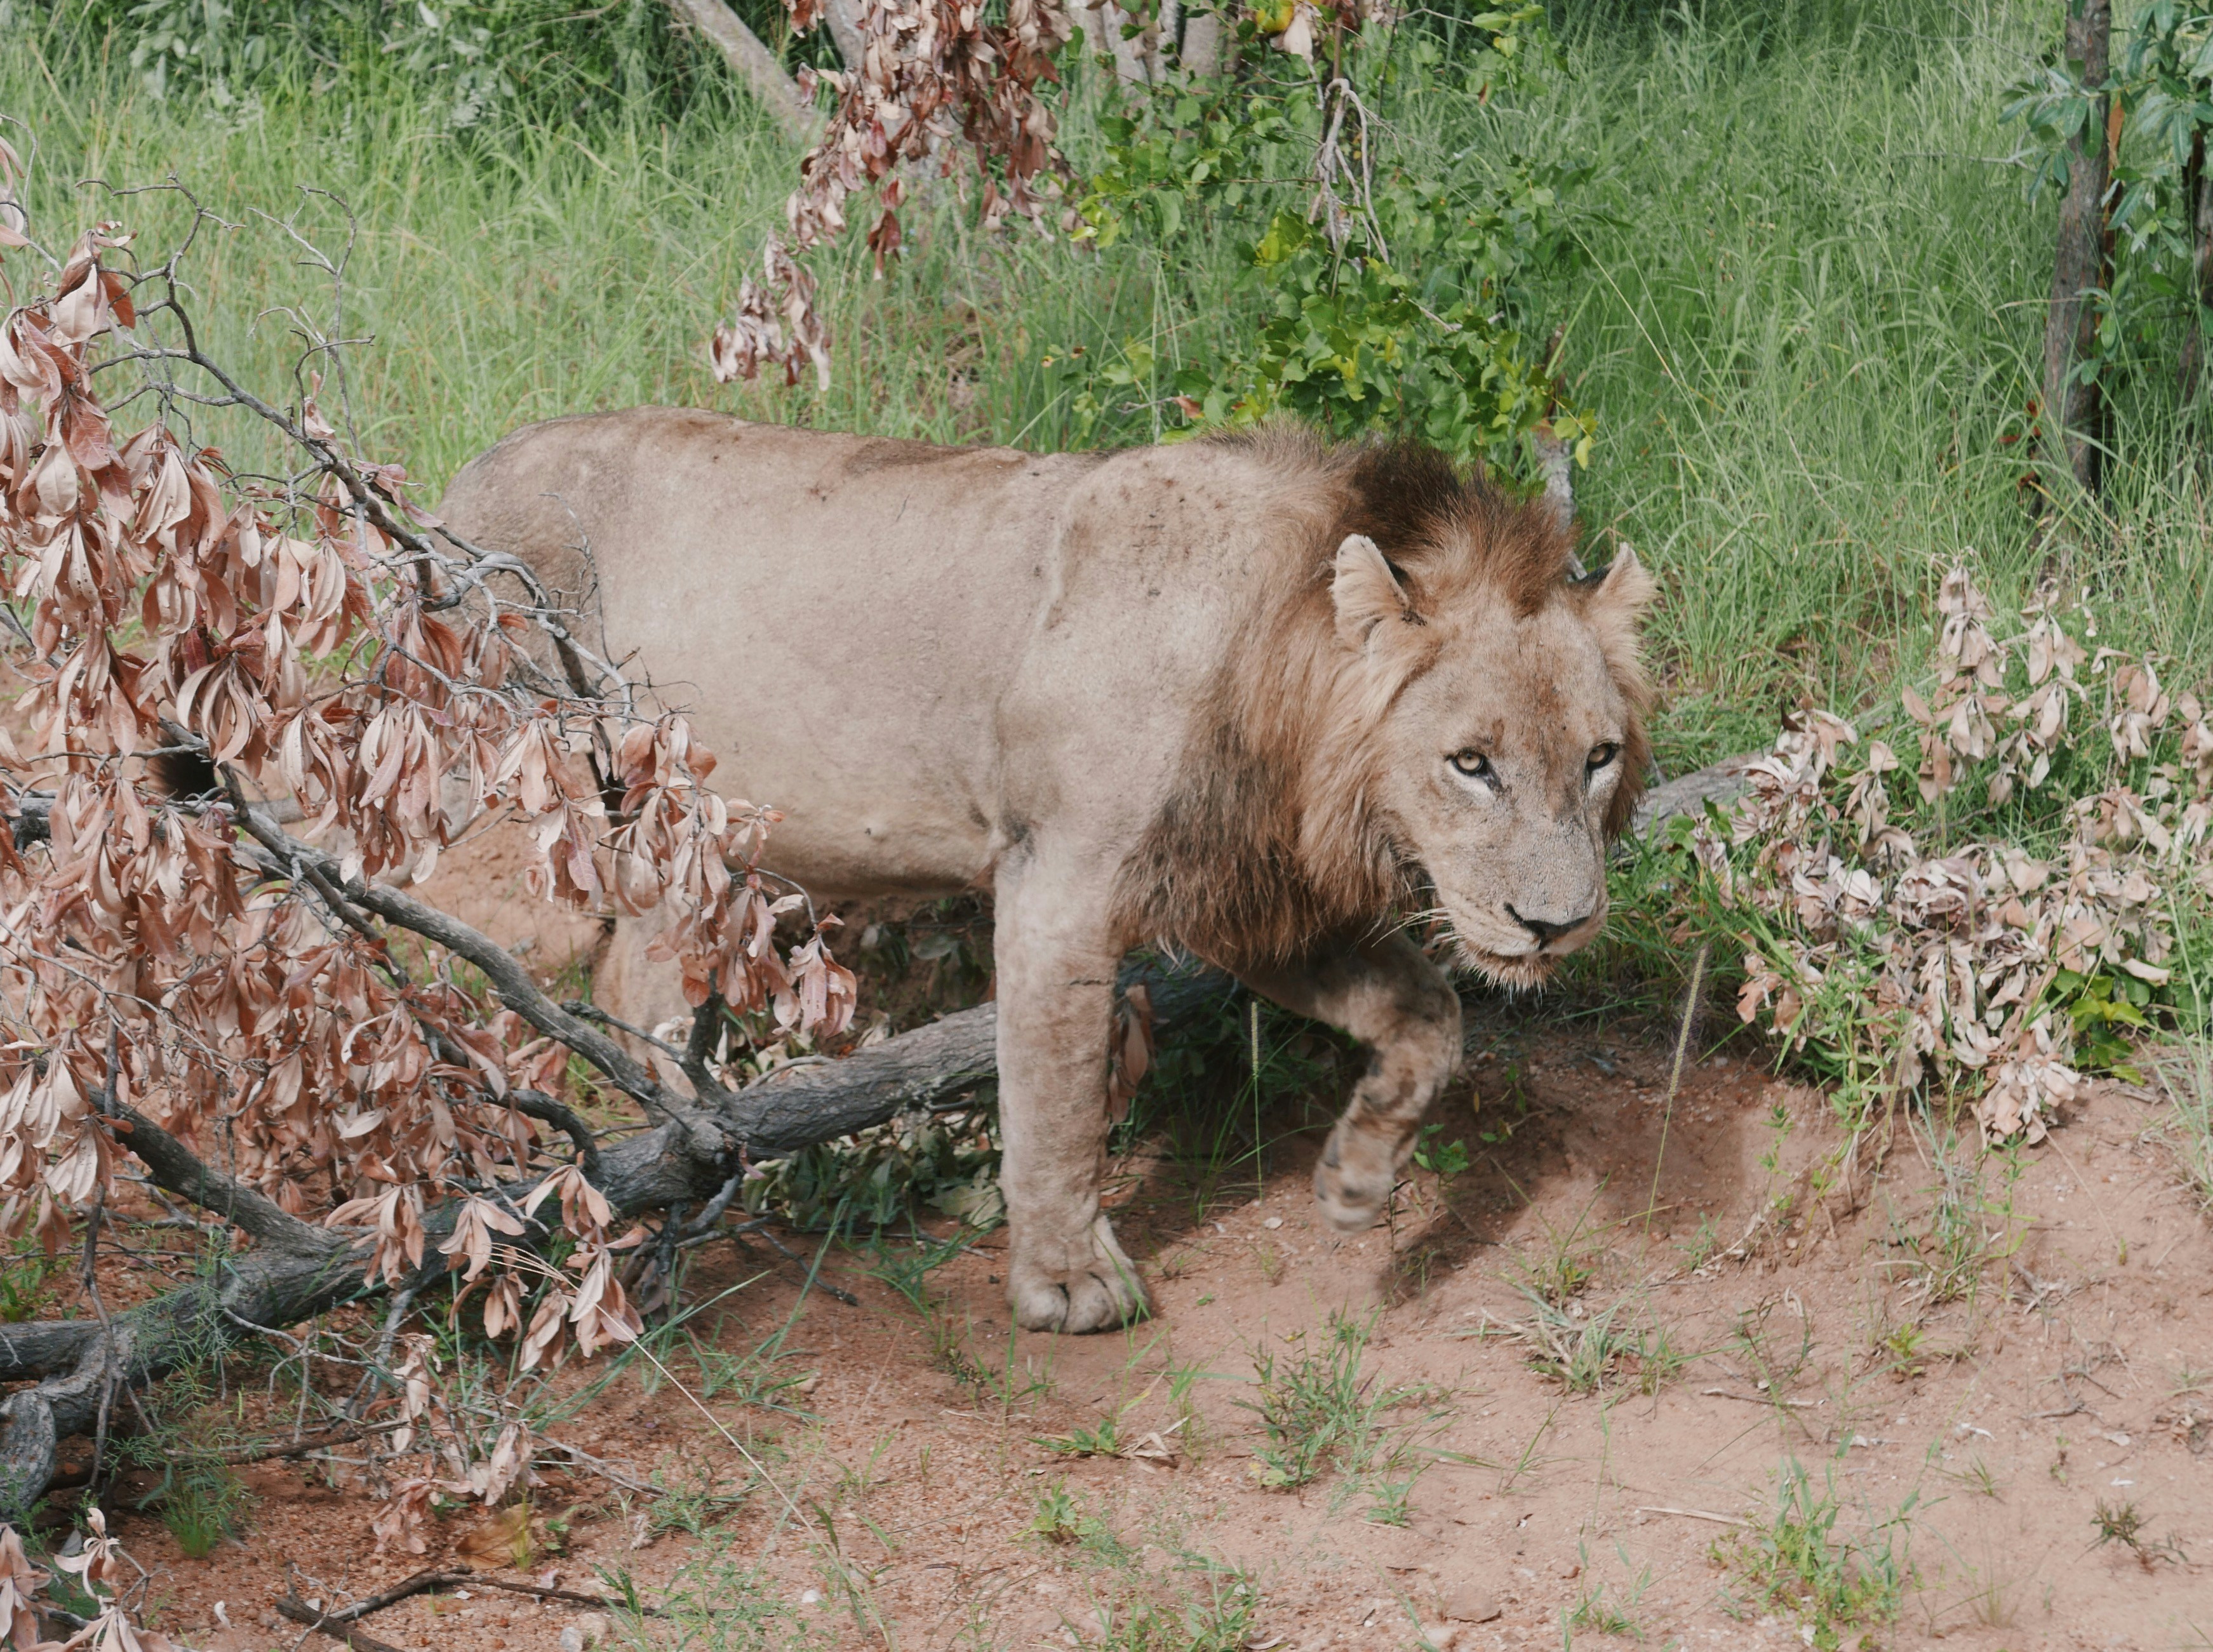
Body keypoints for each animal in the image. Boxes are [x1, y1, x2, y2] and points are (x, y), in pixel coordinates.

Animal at [437, 409, 1656, 1333]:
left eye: (1597, 757)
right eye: (1471, 763)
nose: (1558, 925)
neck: (1276, 676)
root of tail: (466, 475)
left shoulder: (1253, 899)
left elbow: (1429, 1013)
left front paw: (1357, 1183)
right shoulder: (1059, 880)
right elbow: (1058, 1091)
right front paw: (1067, 1281)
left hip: (672, 836)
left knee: (632, 982)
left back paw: (707, 1150)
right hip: (510, 788)